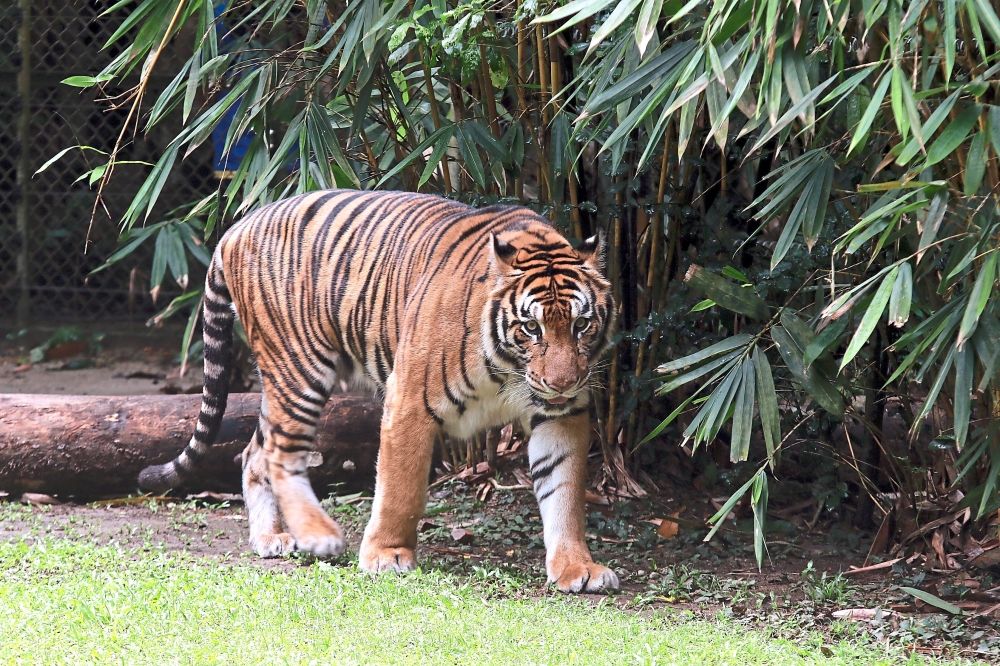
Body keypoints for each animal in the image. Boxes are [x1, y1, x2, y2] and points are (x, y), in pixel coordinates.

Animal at [138, 189, 619, 593]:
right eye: (531, 328)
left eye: (581, 324)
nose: (562, 382)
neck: (508, 372)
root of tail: (237, 226)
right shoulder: (410, 401)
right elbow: (401, 489)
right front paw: (387, 556)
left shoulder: (562, 415)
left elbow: (564, 492)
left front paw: (577, 567)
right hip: (298, 369)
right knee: (278, 453)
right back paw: (318, 536)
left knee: (253, 451)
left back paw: (271, 537)